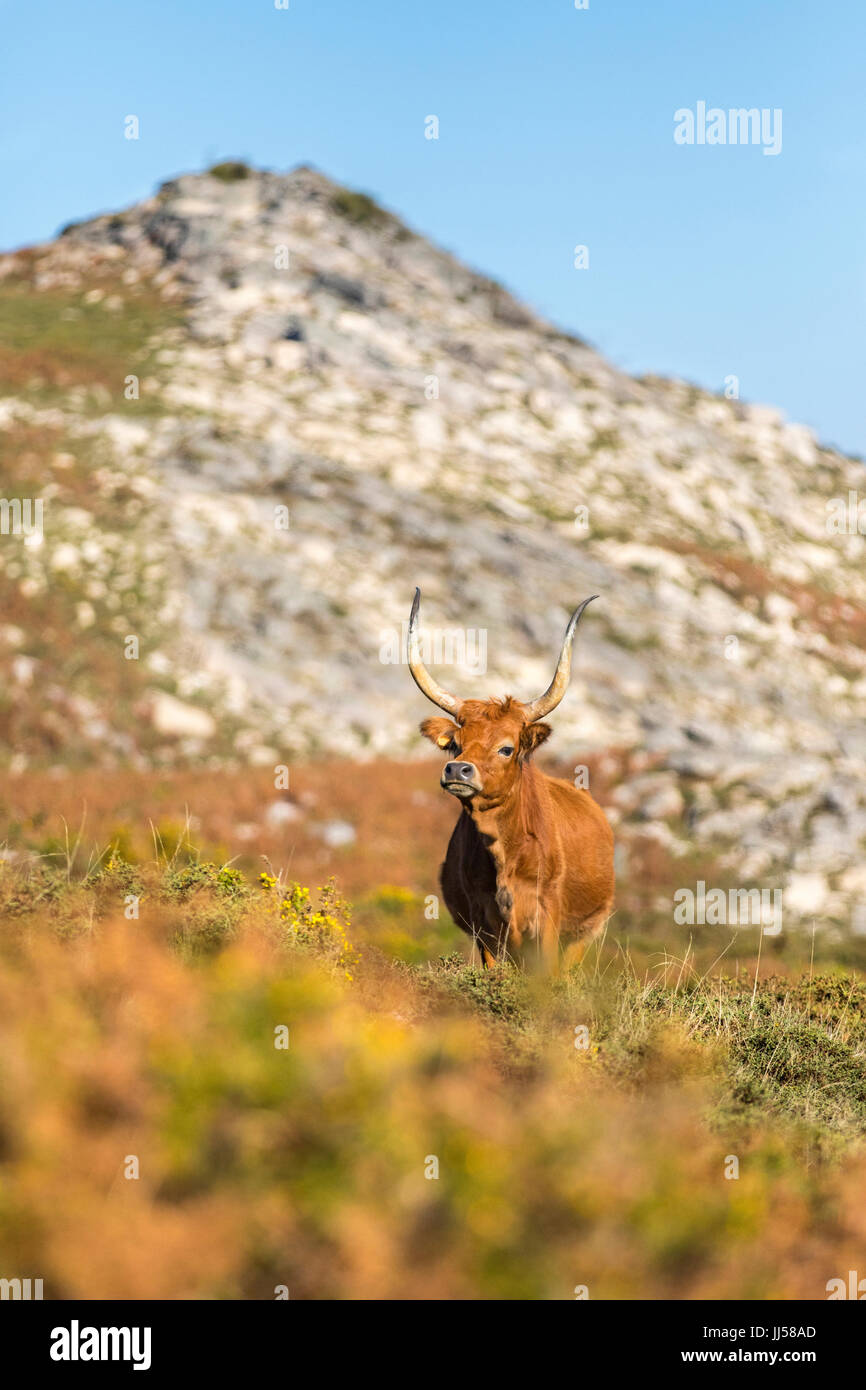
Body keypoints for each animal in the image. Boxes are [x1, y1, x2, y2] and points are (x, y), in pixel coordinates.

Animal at [408, 589, 614, 970]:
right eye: (456, 744)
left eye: (506, 748)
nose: (457, 770)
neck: (504, 853)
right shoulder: (482, 922)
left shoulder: (547, 915)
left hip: (585, 933)